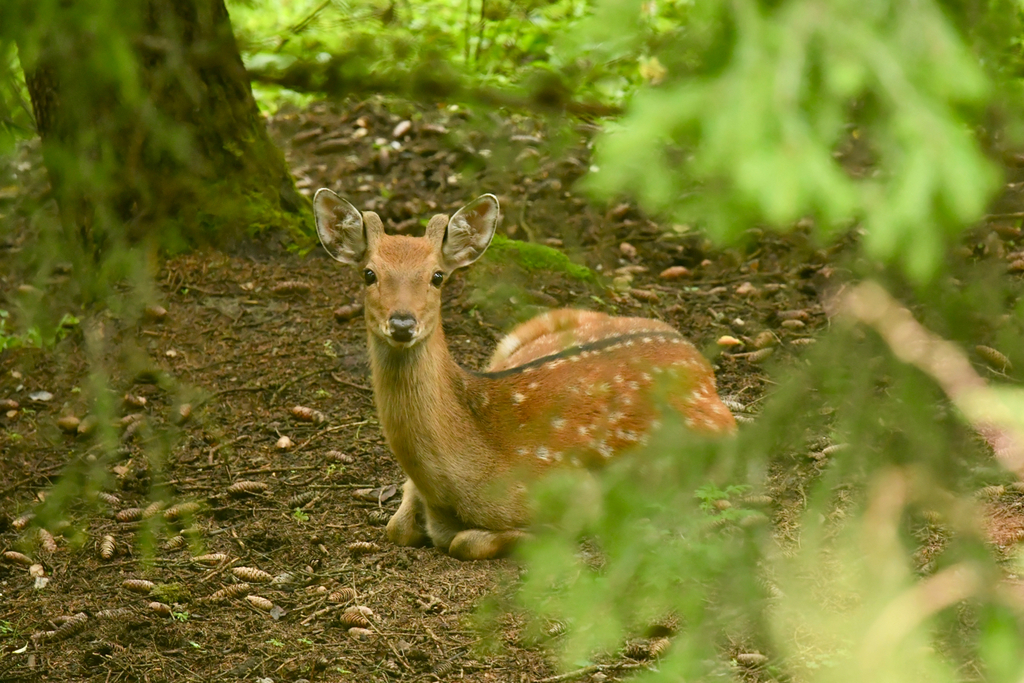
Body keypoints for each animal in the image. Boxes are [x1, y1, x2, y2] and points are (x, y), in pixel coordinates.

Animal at [313, 189, 737, 561]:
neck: (455, 484)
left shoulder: (578, 493)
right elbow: (396, 527)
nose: (402, 323)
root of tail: (694, 355)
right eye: (369, 273)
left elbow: (466, 542)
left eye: (437, 276)